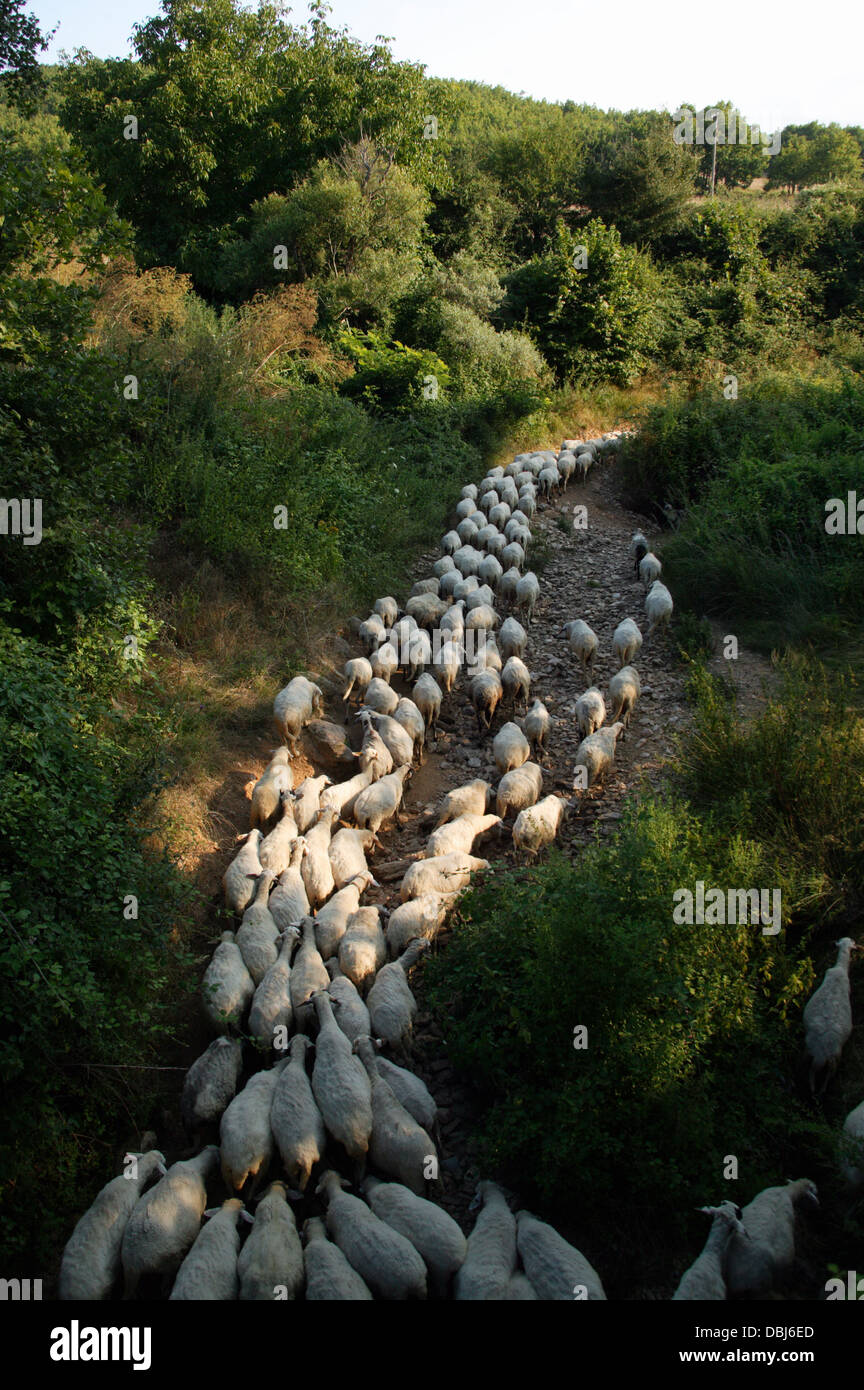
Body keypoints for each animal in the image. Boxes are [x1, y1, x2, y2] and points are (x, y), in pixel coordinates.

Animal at [802, 937, 858, 1093]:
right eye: (852, 942)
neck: (840, 967)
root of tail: (820, 1055)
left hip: (808, 1052)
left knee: (809, 1072)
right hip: (834, 1058)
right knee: (827, 1077)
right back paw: (820, 1091)